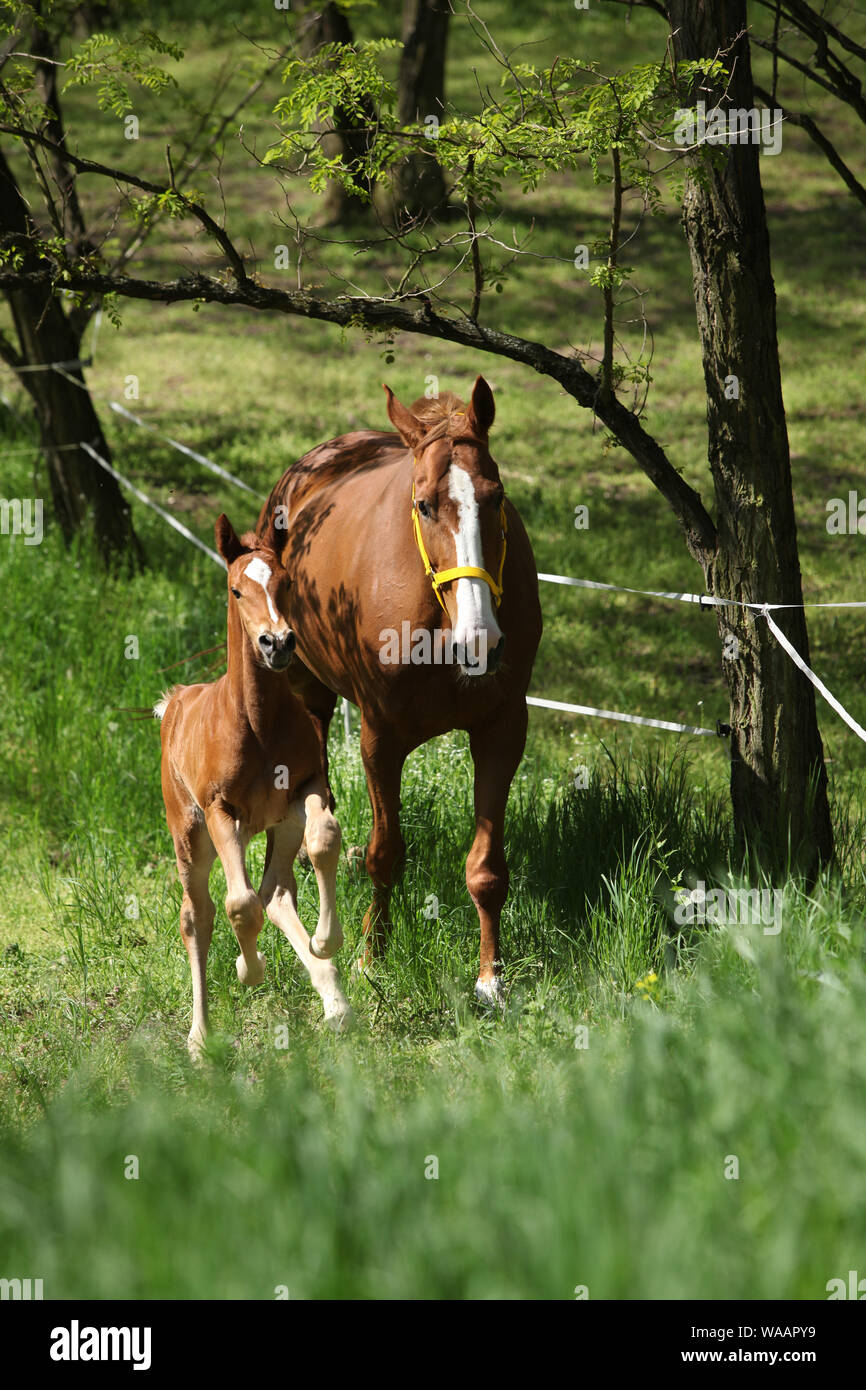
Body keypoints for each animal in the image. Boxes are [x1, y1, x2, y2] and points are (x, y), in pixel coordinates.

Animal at [155, 512, 351, 1057]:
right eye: (236, 589)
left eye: (286, 583)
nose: (277, 643)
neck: (257, 723)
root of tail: (176, 701)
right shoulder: (222, 811)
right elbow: (237, 904)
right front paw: (249, 968)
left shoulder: (306, 785)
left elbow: (324, 840)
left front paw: (325, 941)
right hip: (192, 835)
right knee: (198, 914)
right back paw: (199, 1037)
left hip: (276, 824)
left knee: (276, 892)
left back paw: (335, 1002)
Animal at [257, 376, 542, 1004]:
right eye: (424, 504)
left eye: (496, 497)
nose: (480, 640)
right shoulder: (380, 737)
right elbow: (384, 853)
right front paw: (372, 957)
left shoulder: (502, 729)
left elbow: (487, 867)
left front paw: (490, 977)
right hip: (304, 681)